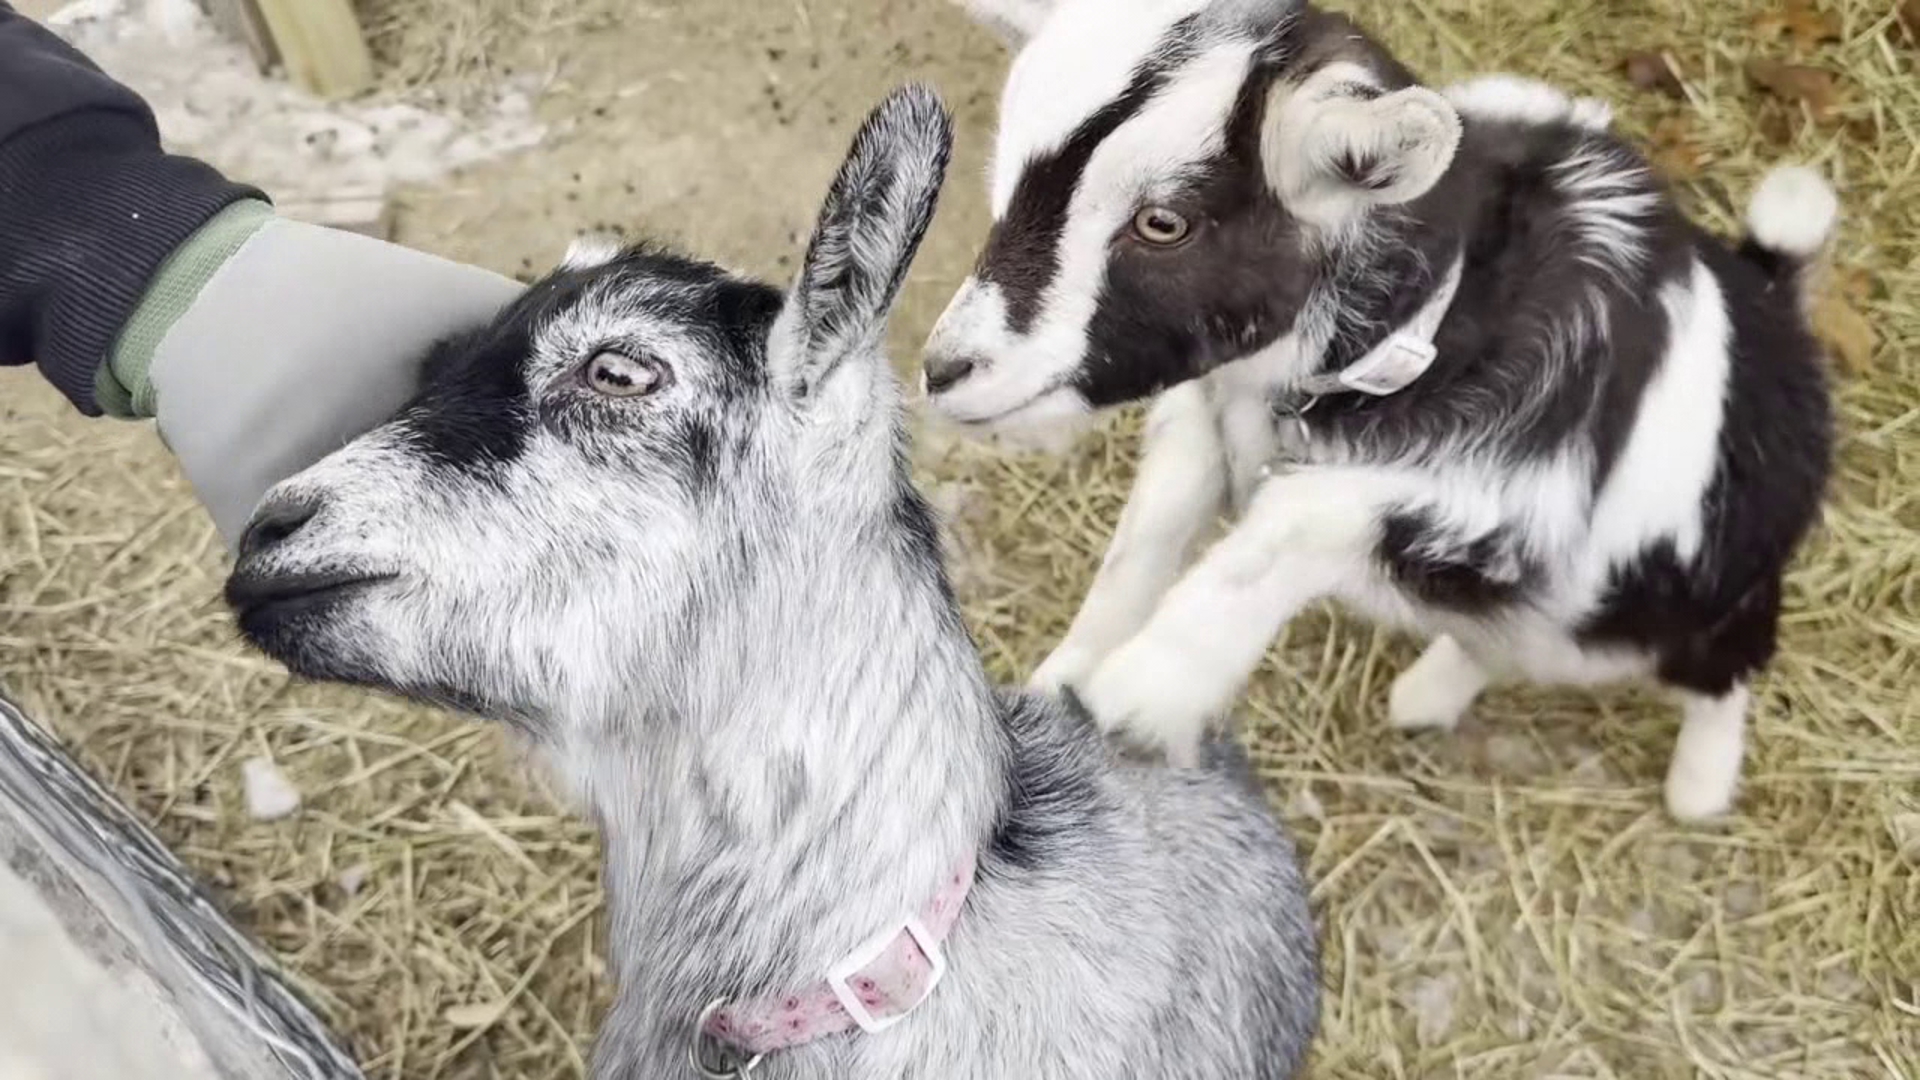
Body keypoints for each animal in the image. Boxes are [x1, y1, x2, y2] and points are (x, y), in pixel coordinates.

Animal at [921, 0, 1838, 822]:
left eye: (1163, 223)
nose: (946, 369)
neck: (1444, 310)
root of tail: (1778, 311)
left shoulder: (1509, 485)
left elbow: (1297, 522)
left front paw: (1143, 692)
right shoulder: (1212, 425)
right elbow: (1147, 536)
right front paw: (1068, 676)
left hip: (1699, 597)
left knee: (1726, 668)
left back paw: (1700, 787)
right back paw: (1430, 693)